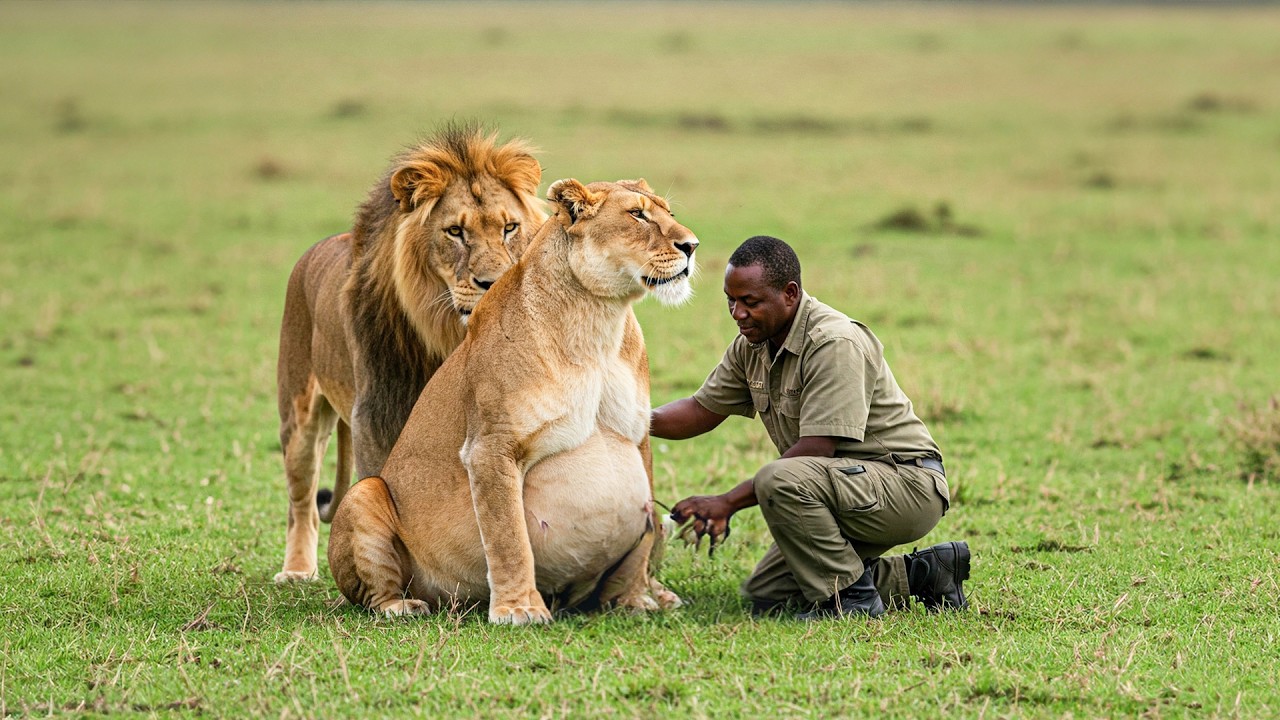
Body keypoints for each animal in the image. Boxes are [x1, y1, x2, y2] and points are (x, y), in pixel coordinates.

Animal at [274, 125, 545, 583]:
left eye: (510, 227)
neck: (449, 336)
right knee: (303, 504)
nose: (494, 282)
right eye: (455, 232)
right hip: (299, 418)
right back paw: (296, 571)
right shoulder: (379, 413)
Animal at [327, 177, 697, 623]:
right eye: (637, 214)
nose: (692, 245)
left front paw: (632, 598)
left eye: (669, 213)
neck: (600, 318)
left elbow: (643, 532)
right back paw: (404, 605)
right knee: (374, 593)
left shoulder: (639, 439)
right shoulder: (490, 447)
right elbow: (509, 538)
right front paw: (519, 608)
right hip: (365, 492)